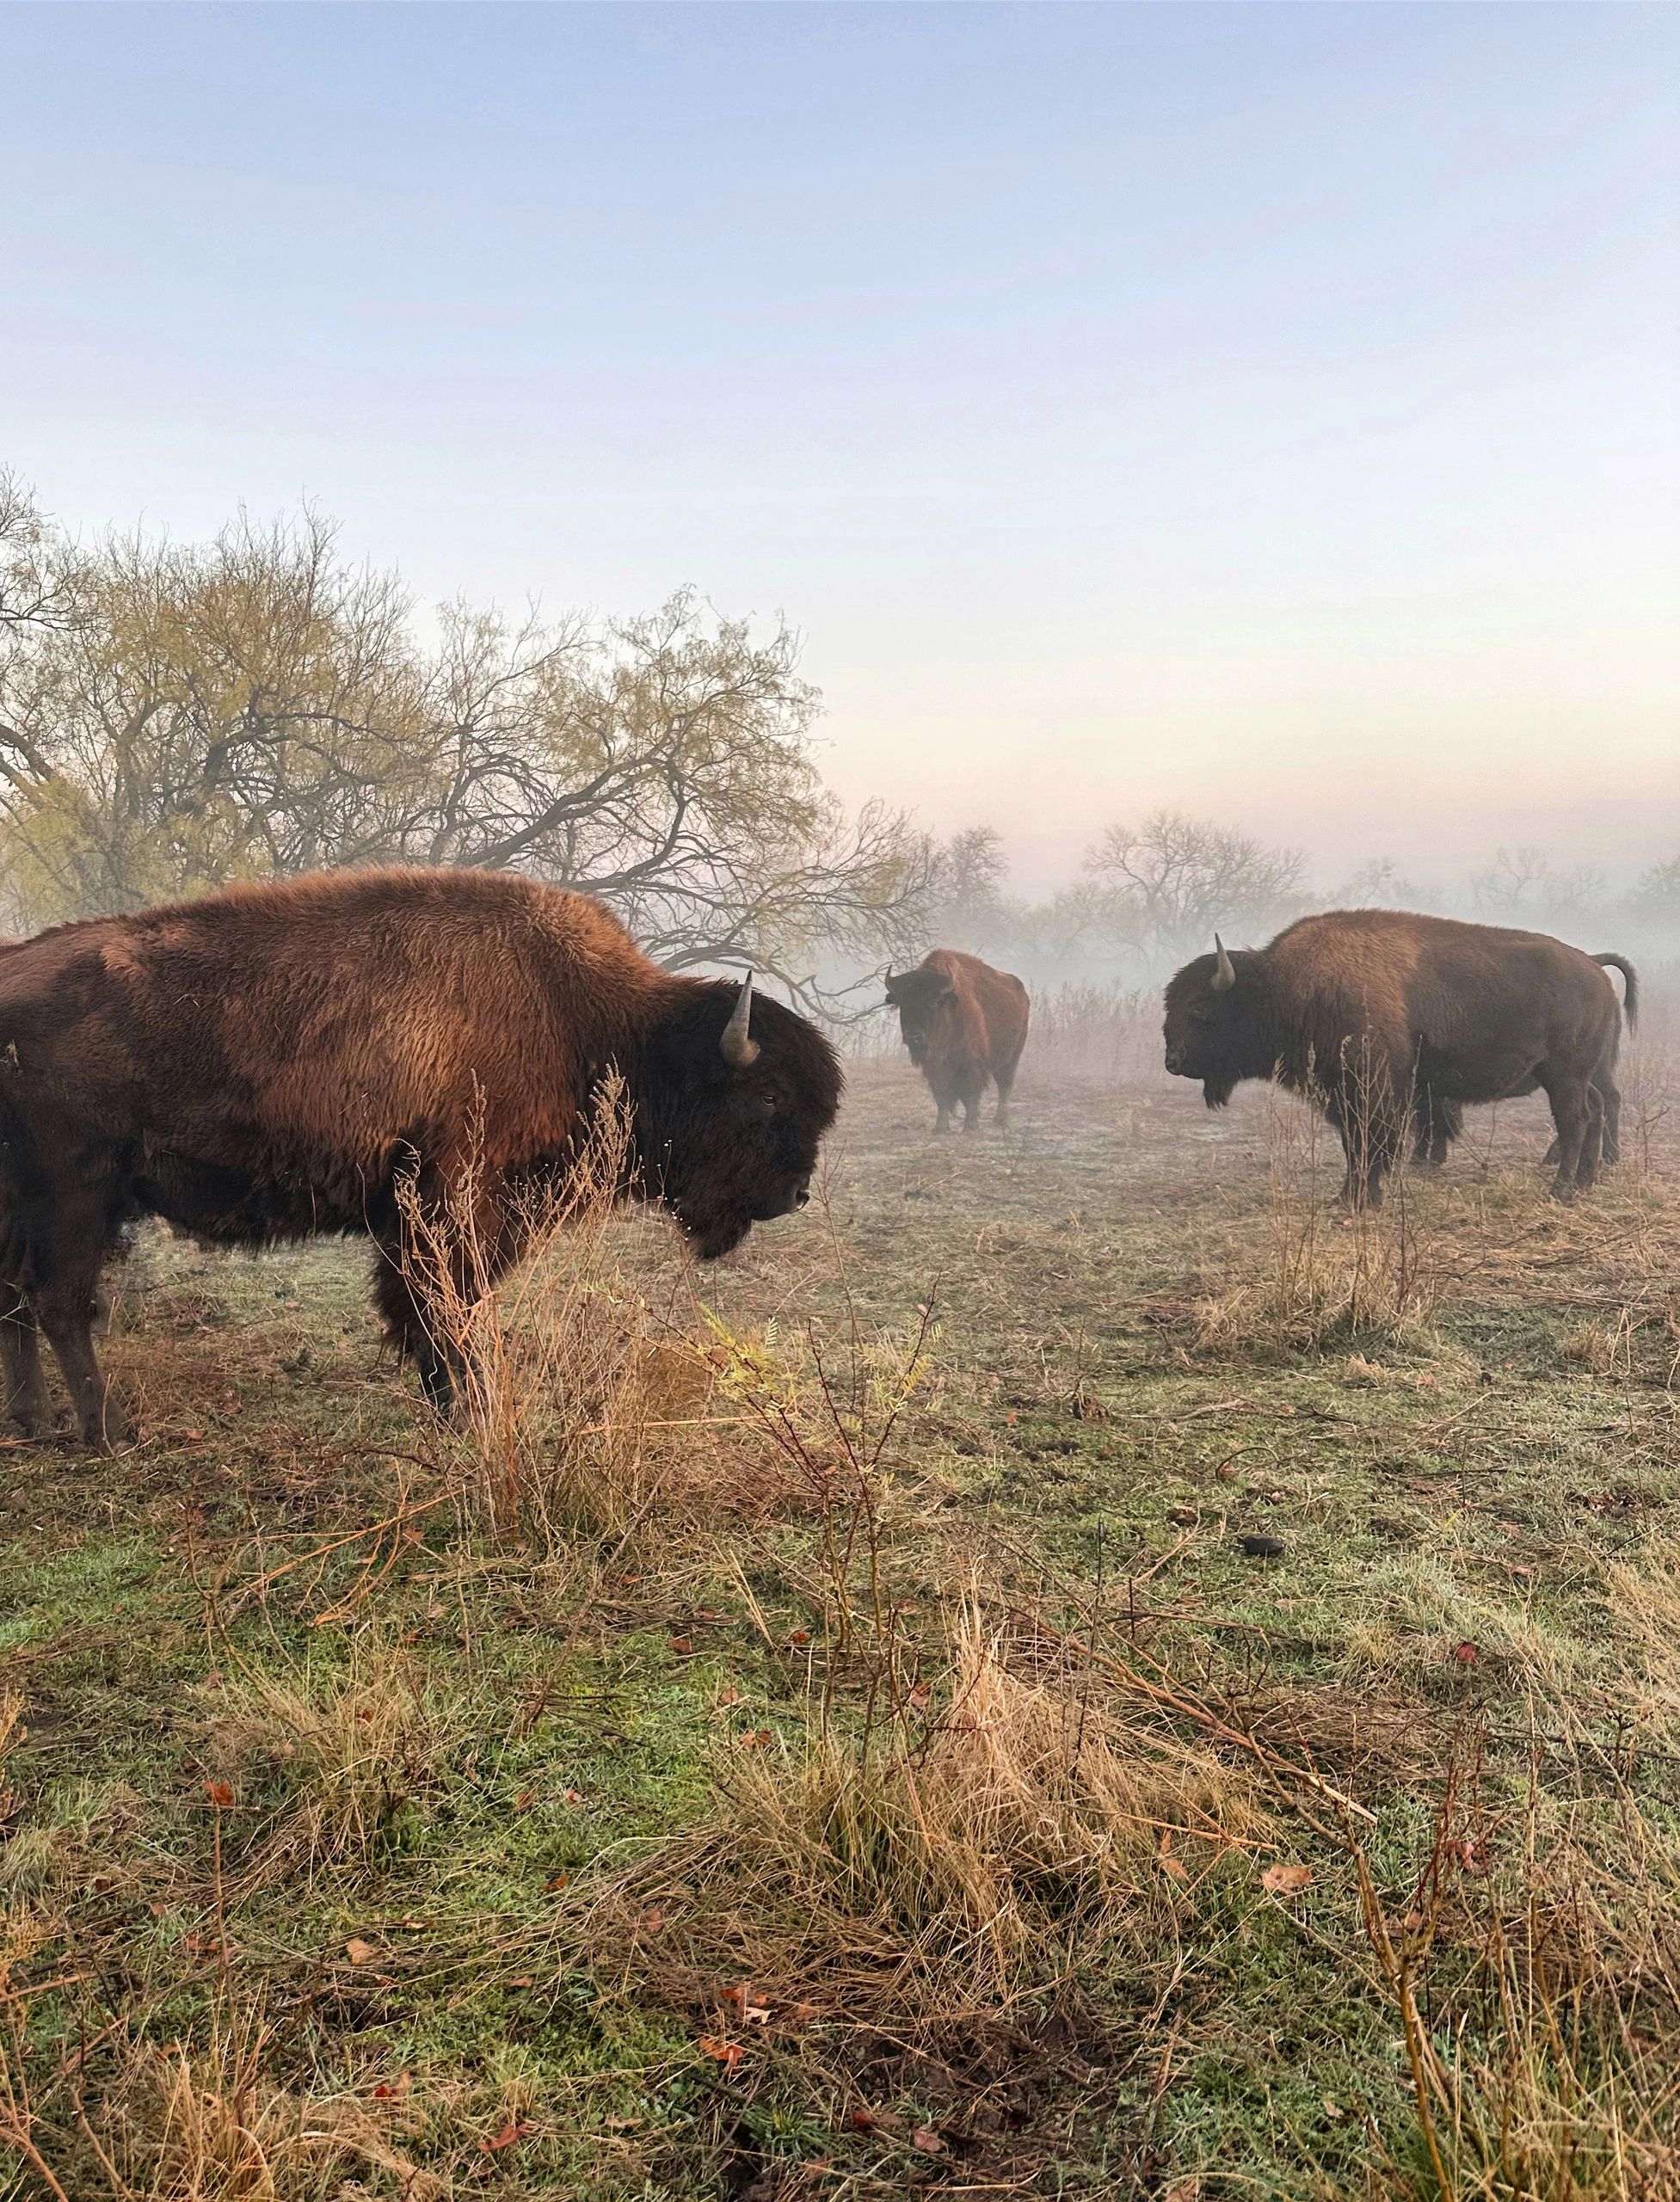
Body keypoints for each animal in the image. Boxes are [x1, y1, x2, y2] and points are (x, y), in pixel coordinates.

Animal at [0, 866, 842, 1443]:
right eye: (768, 1097)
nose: (796, 1194)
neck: (597, 1028)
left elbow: (436, 1309)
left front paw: (450, 1409)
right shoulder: (456, 1199)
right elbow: (444, 1308)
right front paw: (467, 1413)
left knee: (14, 1299)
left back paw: (35, 1424)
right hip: (79, 1194)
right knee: (59, 1300)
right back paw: (109, 1431)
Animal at [884, 951, 1030, 1132]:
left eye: (932, 1002)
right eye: (902, 1003)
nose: (913, 1036)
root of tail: (1023, 993)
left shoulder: (971, 1062)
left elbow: (970, 1092)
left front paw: (971, 1126)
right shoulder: (933, 1065)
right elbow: (941, 1093)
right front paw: (940, 1127)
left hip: (1012, 1056)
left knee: (1005, 1085)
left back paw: (1001, 1120)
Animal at [1163, 910, 1635, 1207]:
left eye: (1201, 1009)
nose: (1172, 1060)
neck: (1287, 987)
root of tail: (1594, 970)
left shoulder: (1374, 1089)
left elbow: (1372, 1143)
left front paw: (1364, 1198)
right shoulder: (1345, 1095)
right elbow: (1355, 1144)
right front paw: (1347, 1197)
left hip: (1564, 1074)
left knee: (1576, 1119)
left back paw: (1562, 1190)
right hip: (1578, 1075)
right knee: (1595, 1109)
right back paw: (1587, 1180)